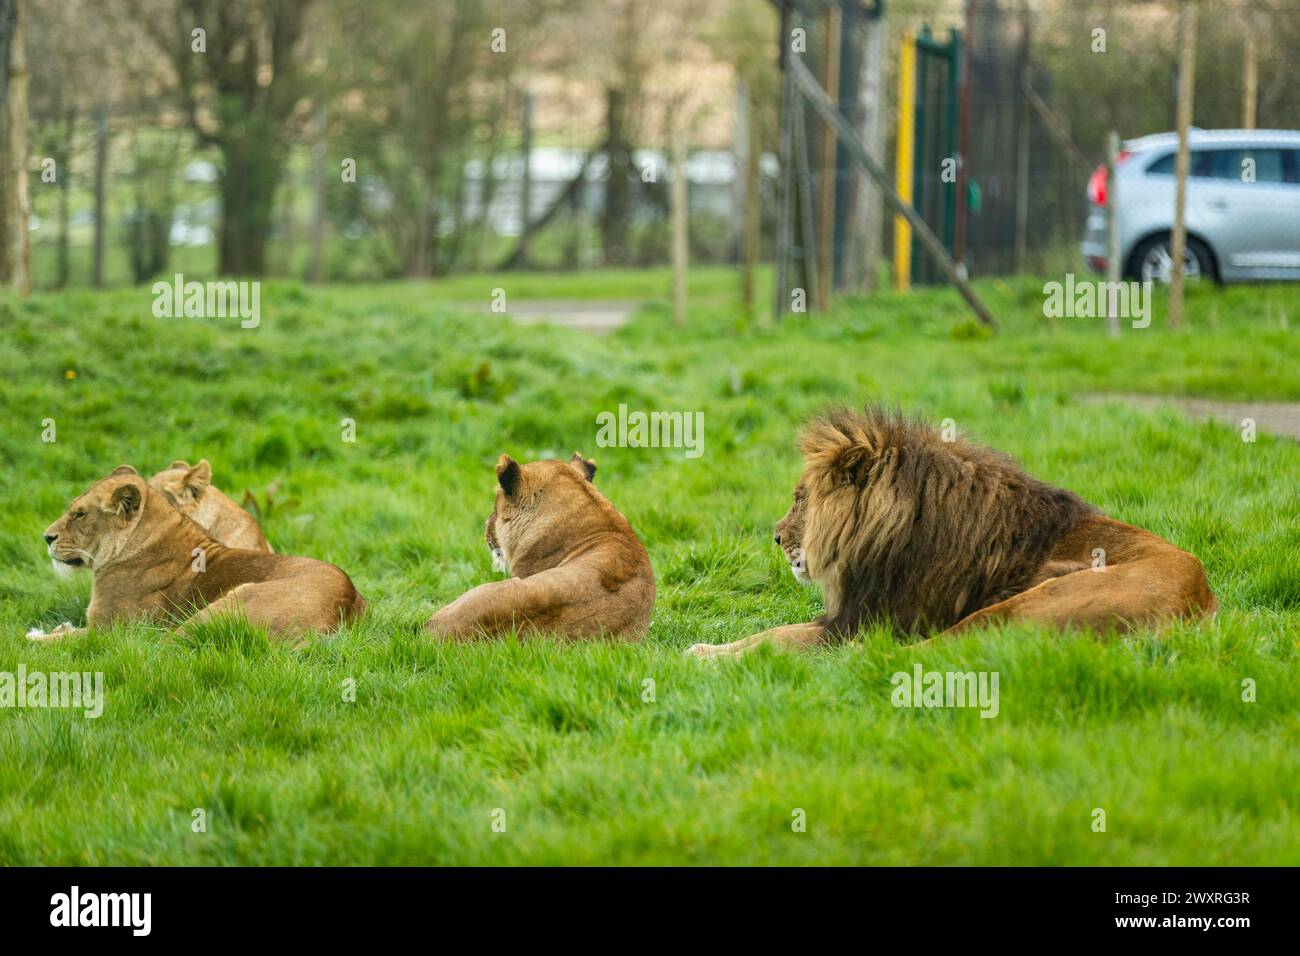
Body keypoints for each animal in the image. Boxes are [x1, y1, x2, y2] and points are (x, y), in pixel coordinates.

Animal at [28, 466, 365, 643]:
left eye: (80, 514)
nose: (46, 537)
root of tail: (345, 603)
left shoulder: (110, 631)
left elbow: (61, 640)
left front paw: (35, 637)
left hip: (222, 605)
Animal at [688, 406, 1217, 657]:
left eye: (801, 499)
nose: (777, 538)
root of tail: (1202, 607)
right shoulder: (848, 613)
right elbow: (771, 632)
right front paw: (703, 650)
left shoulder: (874, 618)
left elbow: (783, 639)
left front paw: (710, 659)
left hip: (1037, 599)